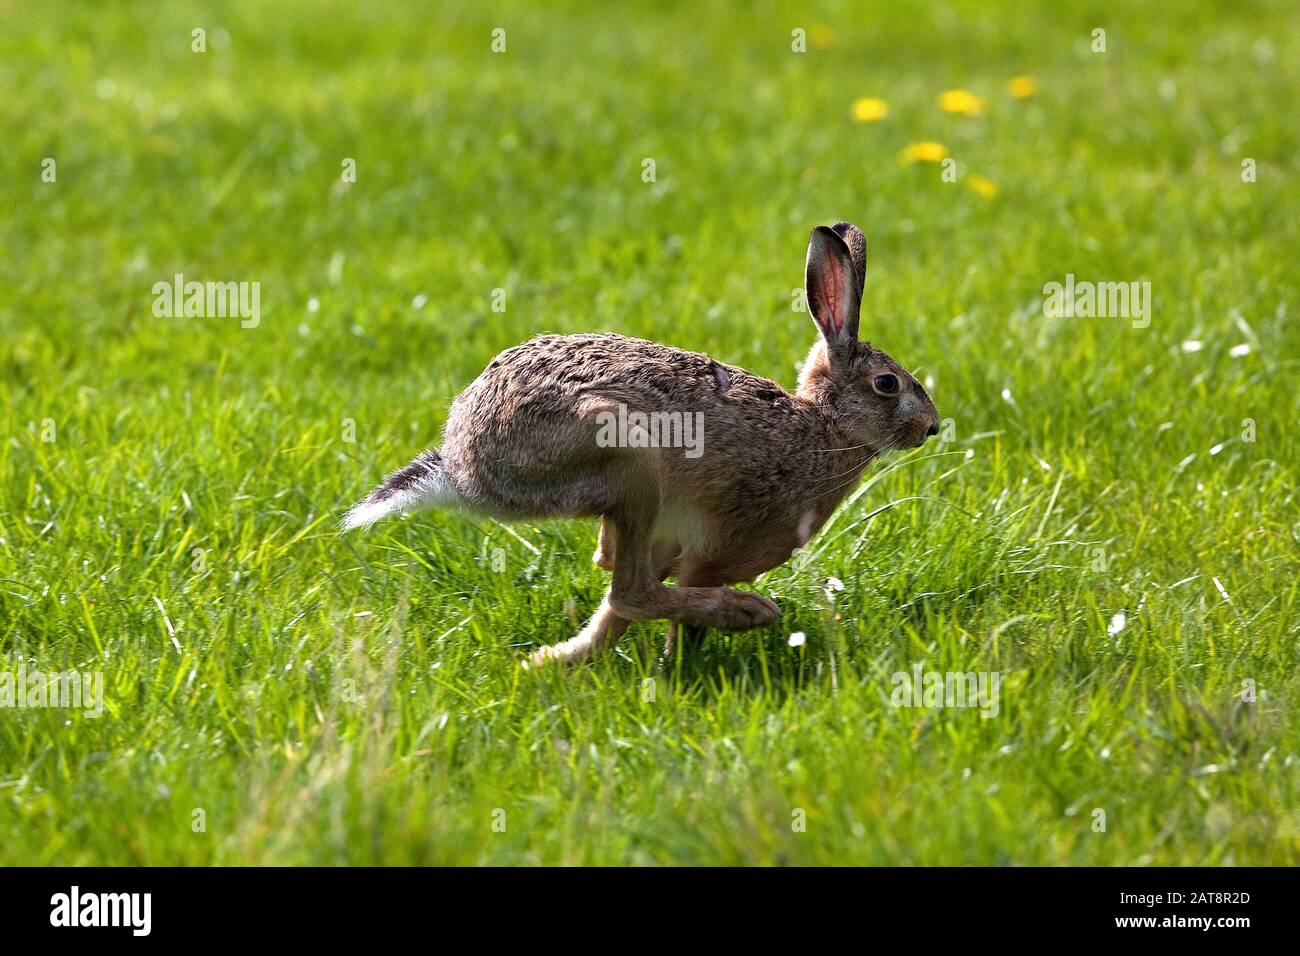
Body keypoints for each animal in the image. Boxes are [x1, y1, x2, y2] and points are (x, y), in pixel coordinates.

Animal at [343, 222, 940, 666]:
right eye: (888, 385)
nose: (932, 427)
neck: (825, 427)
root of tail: (464, 465)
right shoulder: (715, 553)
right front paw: (684, 661)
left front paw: (555, 661)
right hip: (627, 457)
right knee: (629, 587)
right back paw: (749, 612)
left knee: (617, 583)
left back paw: (547, 663)